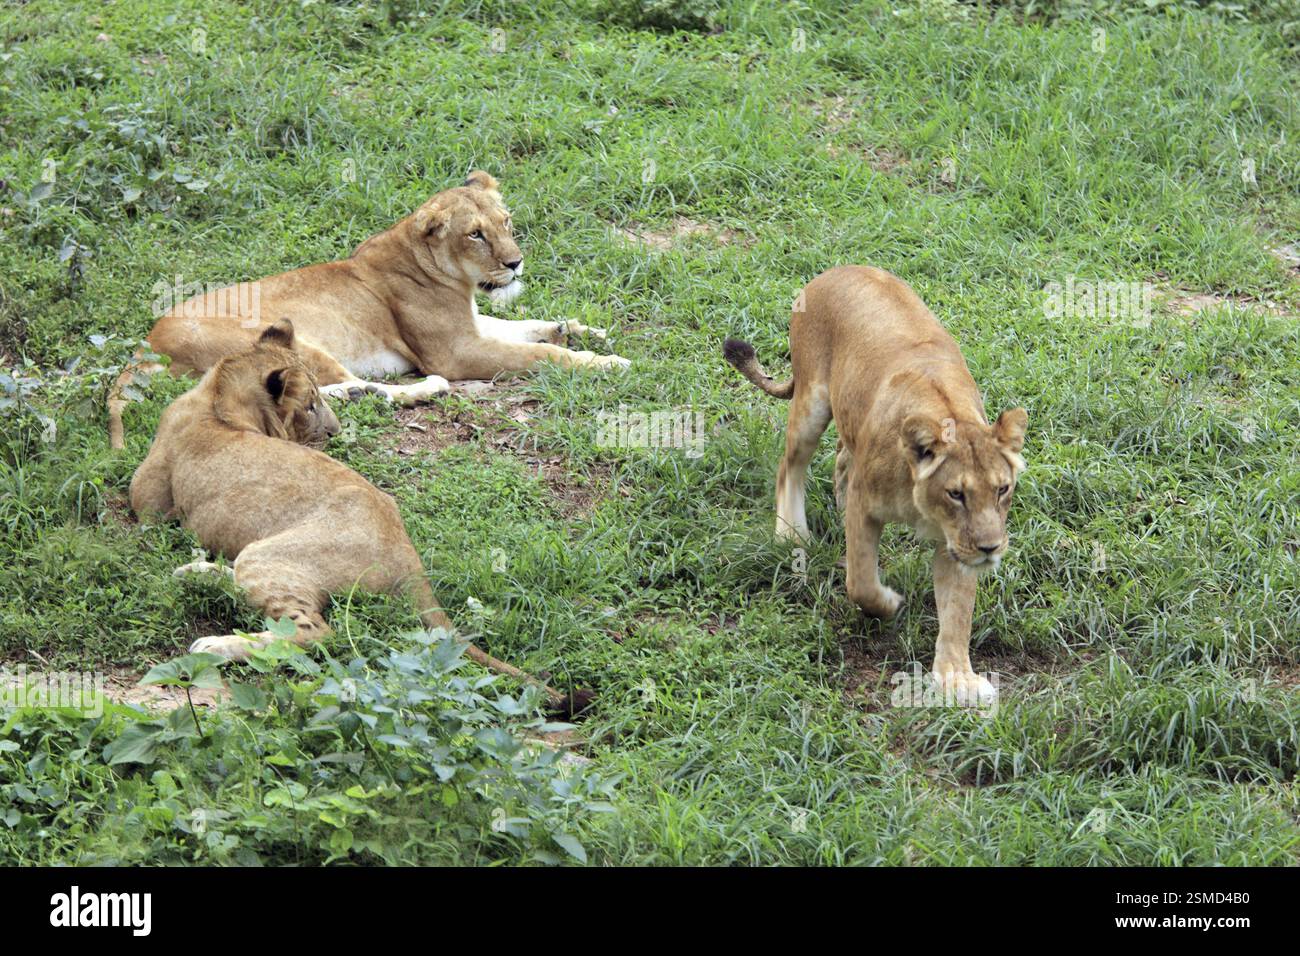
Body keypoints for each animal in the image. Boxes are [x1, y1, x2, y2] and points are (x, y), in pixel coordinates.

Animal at [108, 170, 628, 449]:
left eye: (506, 223)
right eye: (475, 234)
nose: (515, 263)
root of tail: (145, 346)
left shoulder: (474, 326)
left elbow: (530, 326)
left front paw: (584, 330)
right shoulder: (454, 353)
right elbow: (538, 355)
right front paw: (606, 362)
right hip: (293, 337)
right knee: (331, 388)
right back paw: (409, 390)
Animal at [130, 318, 588, 713]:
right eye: (311, 405)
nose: (335, 431)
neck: (220, 397)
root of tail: (408, 556)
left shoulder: (148, 500)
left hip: (268, 556)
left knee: (313, 633)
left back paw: (212, 644)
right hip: (264, 555)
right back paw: (195, 572)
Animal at [724, 266, 1028, 705]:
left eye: (1002, 490)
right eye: (956, 494)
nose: (990, 549)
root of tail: (835, 270)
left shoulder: (956, 543)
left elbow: (957, 612)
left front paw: (957, 679)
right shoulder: (865, 506)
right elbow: (862, 582)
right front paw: (890, 602)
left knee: (842, 453)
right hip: (812, 401)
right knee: (789, 467)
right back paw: (791, 534)